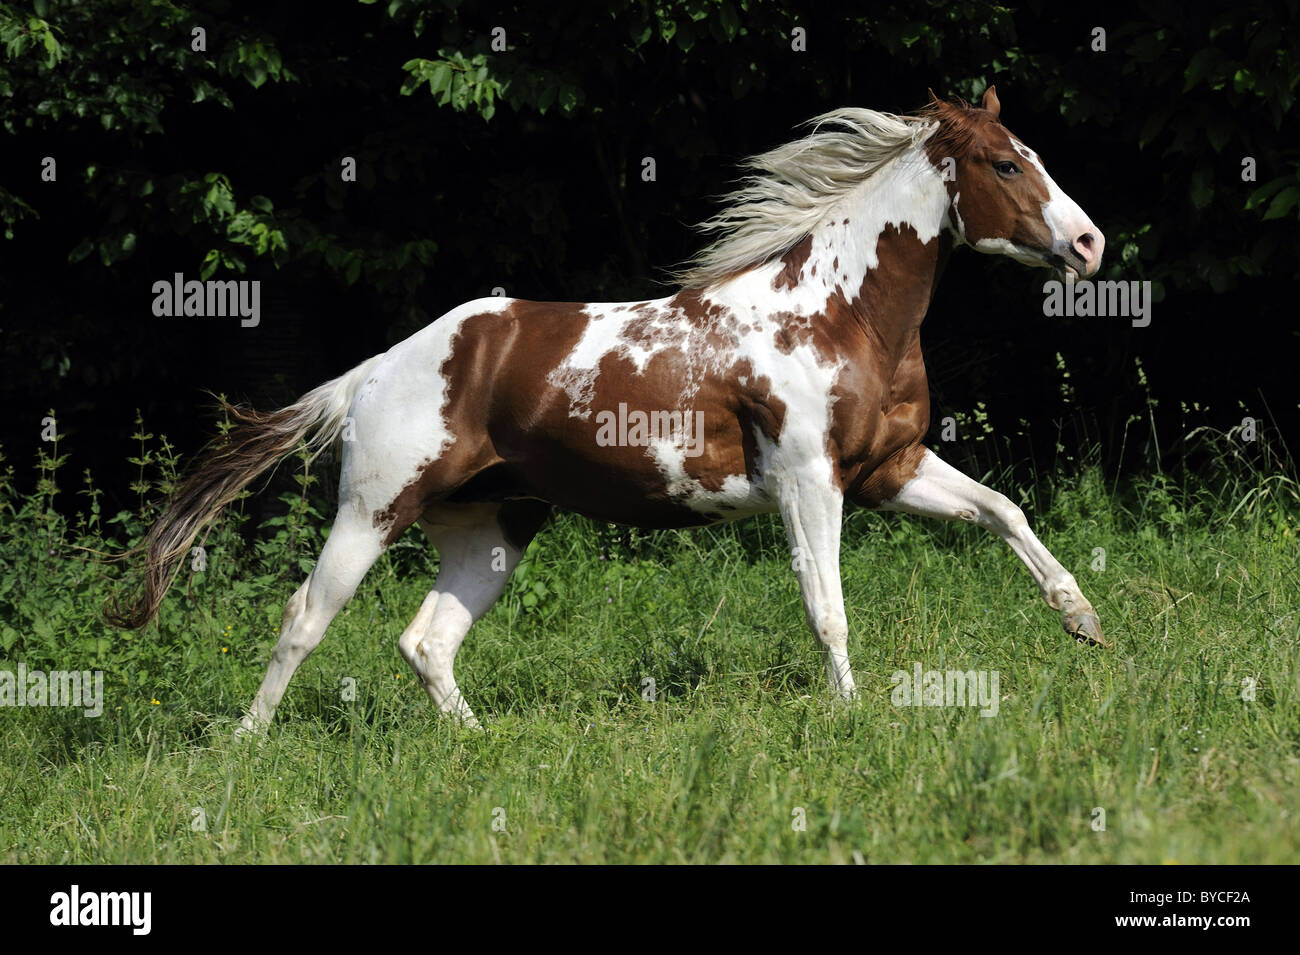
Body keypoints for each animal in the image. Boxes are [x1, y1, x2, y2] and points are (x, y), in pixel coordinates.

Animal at [108, 87, 1107, 732]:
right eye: (1004, 162)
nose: (1091, 244)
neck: (838, 312)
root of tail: (374, 372)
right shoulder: (809, 484)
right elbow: (828, 609)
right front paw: (852, 715)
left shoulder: (888, 471)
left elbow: (1005, 511)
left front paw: (1084, 621)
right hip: (371, 510)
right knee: (303, 617)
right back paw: (246, 745)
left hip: (492, 528)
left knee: (426, 641)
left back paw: (479, 743)